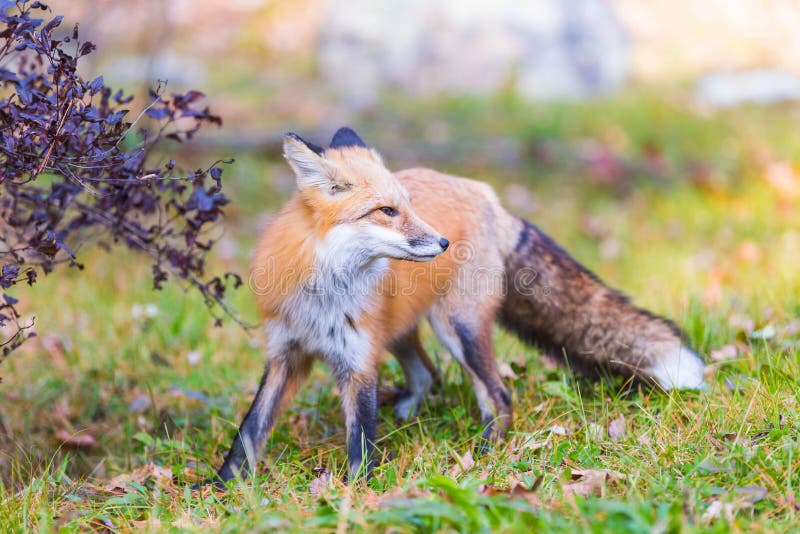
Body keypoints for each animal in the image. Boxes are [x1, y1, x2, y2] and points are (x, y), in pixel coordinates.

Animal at [212, 126, 706, 484]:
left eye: (408, 207)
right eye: (387, 211)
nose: (443, 242)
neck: (322, 293)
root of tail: (486, 193)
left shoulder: (358, 362)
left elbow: (361, 443)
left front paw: (354, 495)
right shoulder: (286, 354)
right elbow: (249, 432)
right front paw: (221, 488)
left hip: (457, 328)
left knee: (498, 396)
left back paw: (485, 453)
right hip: (403, 329)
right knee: (428, 374)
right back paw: (411, 413)